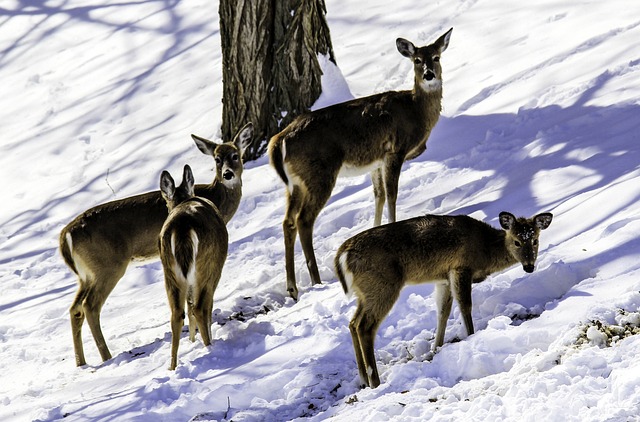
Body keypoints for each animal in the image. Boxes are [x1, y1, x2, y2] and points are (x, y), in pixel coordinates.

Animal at [159, 164, 229, 370]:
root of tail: (181, 229)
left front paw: (191, 340)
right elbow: (205, 306)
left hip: (170, 273)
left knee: (177, 314)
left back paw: (172, 366)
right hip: (207, 265)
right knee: (200, 307)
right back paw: (210, 347)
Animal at [268, 28, 452, 300]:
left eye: (436, 57)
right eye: (417, 60)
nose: (429, 74)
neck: (415, 111)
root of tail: (279, 140)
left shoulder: (375, 162)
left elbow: (379, 196)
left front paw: (374, 232)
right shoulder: (394, 150)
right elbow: (392, 195)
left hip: (295, 183)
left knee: (288, 221)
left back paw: (292, 287)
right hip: (319, 173)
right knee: (304, 220)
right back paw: (316, 280)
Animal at [336, 211, 556, 390]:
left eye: (535, 240)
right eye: (517, 241)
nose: (529, 266)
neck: (484, 249)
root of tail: (343, 256)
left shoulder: (443, 278)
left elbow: (443, 311)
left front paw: (436, 349)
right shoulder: (460, 267)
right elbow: (465, 306)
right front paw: (472, 338)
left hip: (365, 292)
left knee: (353, 322)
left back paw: (363, 379)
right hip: (383, 284)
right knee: (365, 326)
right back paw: (375, 381)